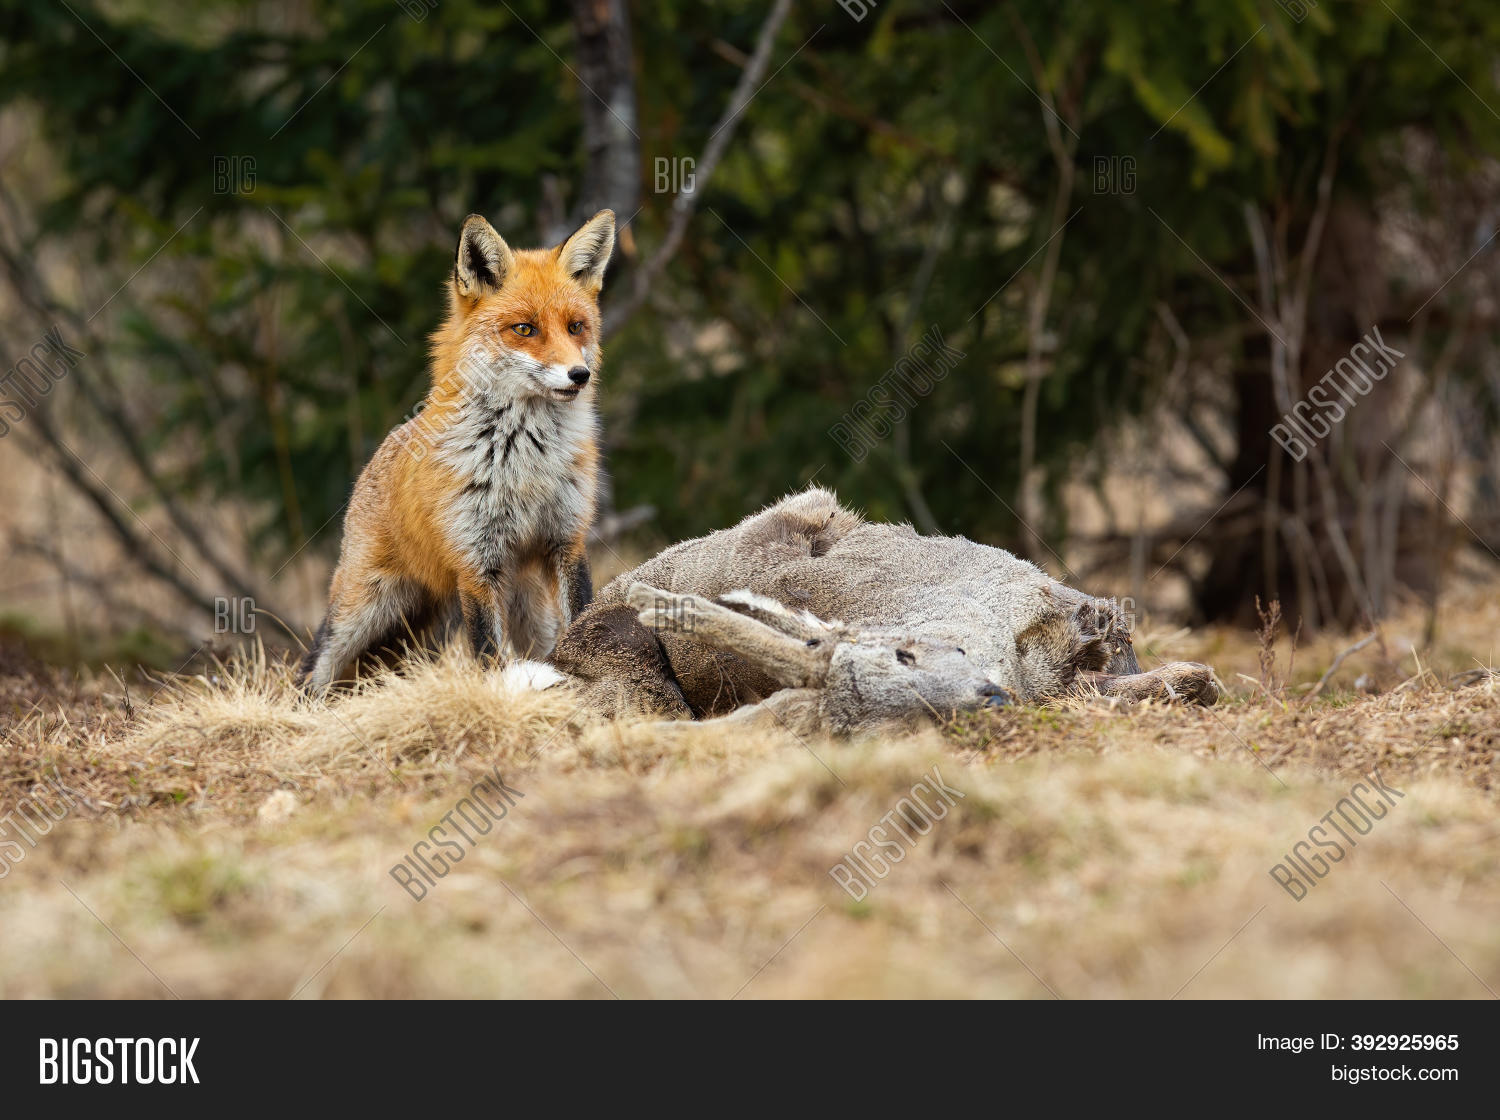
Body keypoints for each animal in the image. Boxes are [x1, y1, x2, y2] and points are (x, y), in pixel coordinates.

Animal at [297, 208, 616, 693]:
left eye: (576, 327)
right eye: (525, 329)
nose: (579, 374)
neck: (525, 459)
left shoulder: (566, 539)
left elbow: (580, 616)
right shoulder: (475, 559)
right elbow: (488, 649)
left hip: (520, 604)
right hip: (361, 611)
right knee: (315, 664)